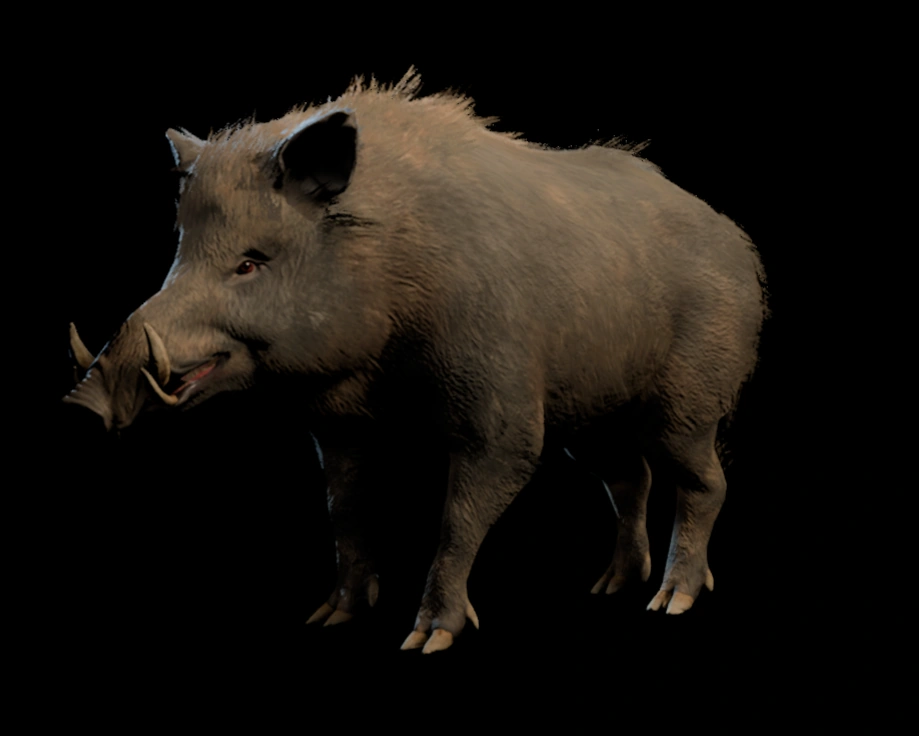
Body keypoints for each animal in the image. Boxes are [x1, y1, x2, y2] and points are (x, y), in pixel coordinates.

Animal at [63, 69, 767, 654]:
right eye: (180, 252)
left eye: (249, 263)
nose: (85, 400)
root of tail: (740, 246)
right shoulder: (339, 422)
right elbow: (344, 509)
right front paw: (332, 617)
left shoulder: (502, 412)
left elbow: (458, 517)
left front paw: (426, 639)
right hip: (592, 413)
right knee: (630, 478)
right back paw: (610, 586)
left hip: (690, 397)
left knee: (702, 481)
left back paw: (670, 602)